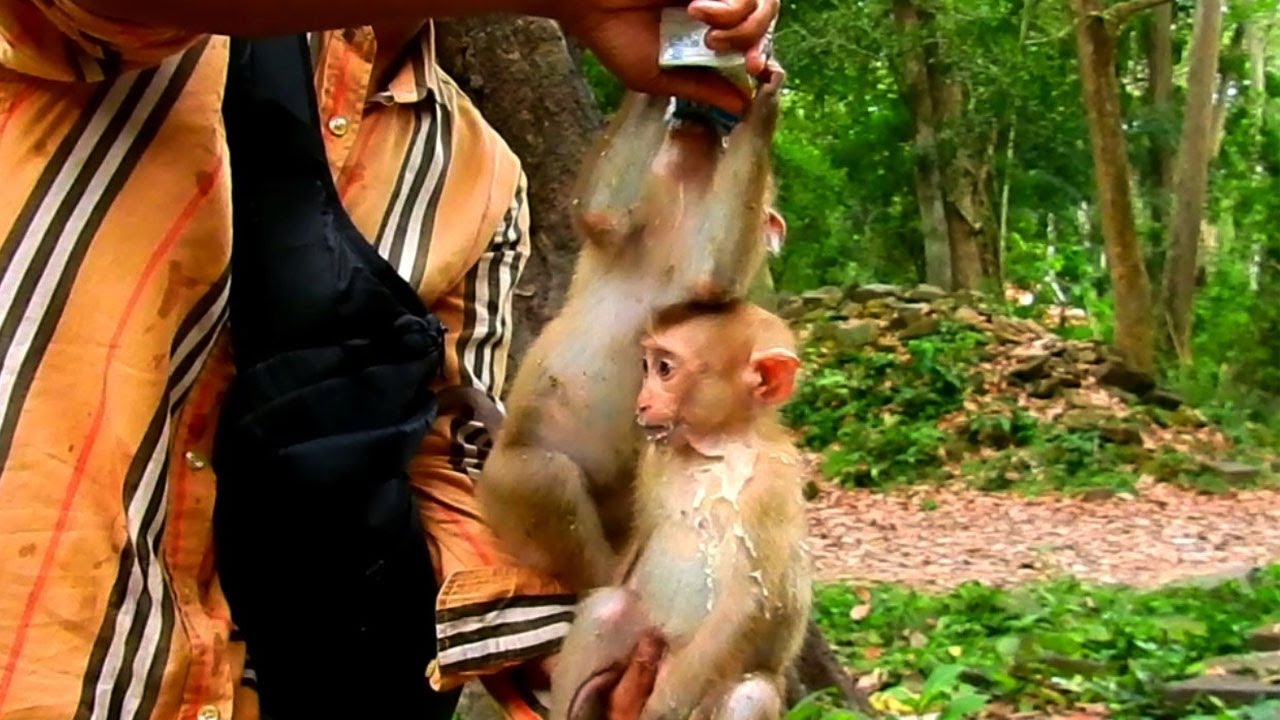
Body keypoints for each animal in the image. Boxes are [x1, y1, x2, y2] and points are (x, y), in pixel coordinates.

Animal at [476, 67, 787, 592]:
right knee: (546, 477)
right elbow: (599, 210)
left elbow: (712, 278)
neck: (680, 213)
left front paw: (763, 106)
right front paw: (663, 74)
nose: (700, 122)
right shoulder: (632, 222)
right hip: (504, 491)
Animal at [547, 299, 812, 720]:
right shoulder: (653, 459)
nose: (642, 402)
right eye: (646, 366)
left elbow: (747, 600)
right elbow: (640, 542)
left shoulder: (772, 484)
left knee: (751, 694)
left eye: (666, 369)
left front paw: (659, 709)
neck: (714, 449)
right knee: (608, 609)